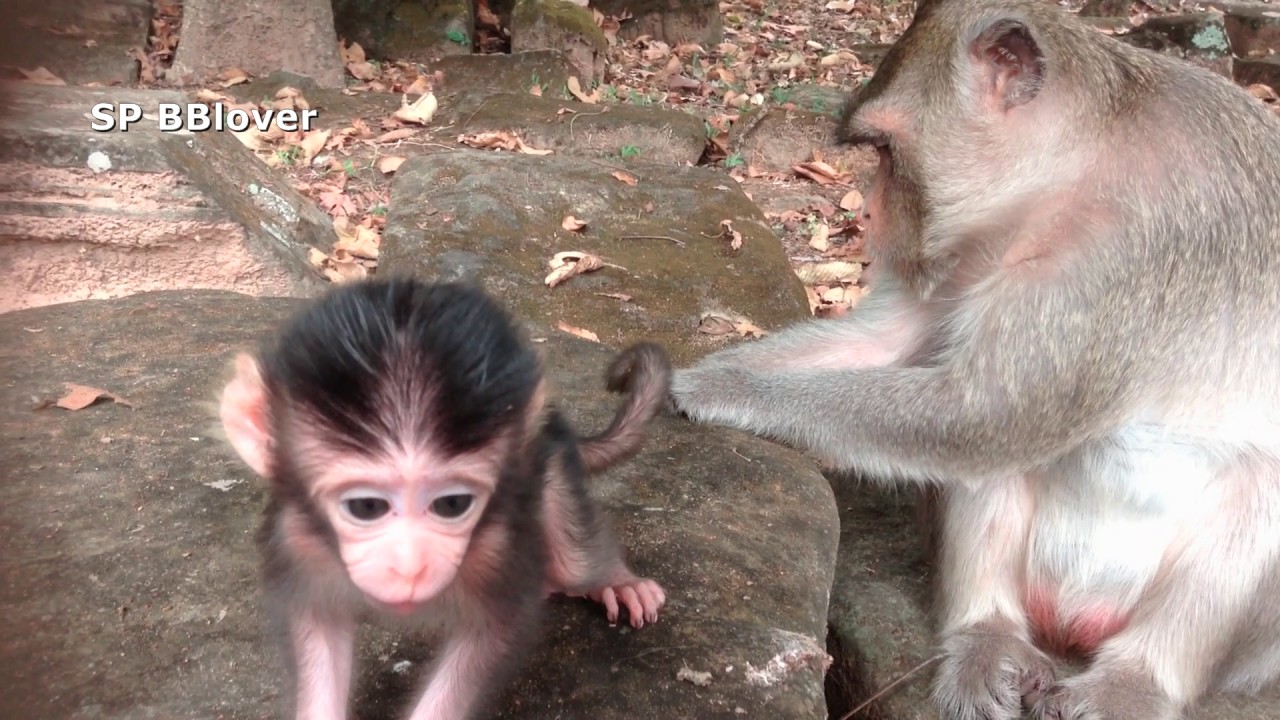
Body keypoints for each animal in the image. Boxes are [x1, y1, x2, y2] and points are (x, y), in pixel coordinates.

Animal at [218, 278, 668, 720]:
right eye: (366, 507)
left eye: (452, 505)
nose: (409, 568)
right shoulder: (296, 538)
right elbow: (316, 626)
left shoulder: (496, 547)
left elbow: (489, 636)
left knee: (576, 563)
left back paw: (616, 581)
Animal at [669, 1, 1280, 718]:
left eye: (887, 152)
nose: (868, 215)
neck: (1077, 173)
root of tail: (1073, 623)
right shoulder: (973, 253)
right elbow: (892, 341)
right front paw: (710, 371)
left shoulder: (1121, 264)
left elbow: (981, 415)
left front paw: (724, 392)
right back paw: (987, 635)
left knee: (1254, 488)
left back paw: (1136, 680)